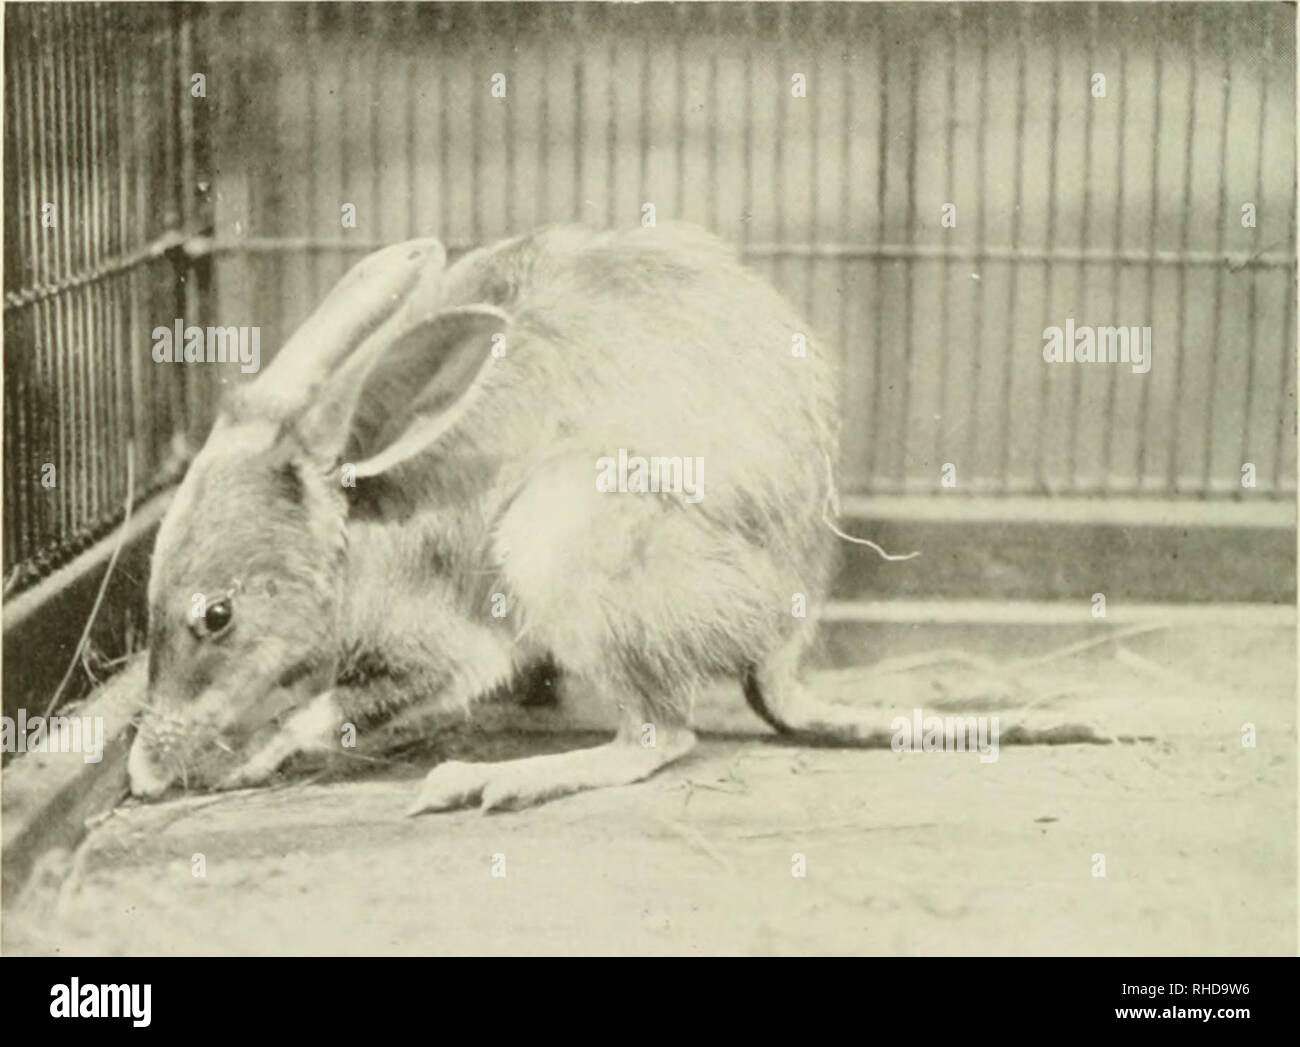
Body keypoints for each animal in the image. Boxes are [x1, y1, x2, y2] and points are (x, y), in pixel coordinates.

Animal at [128, 222, 881, 813]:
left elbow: (328, 707)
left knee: (662, 736)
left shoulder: (442, 647)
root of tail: (786, 642)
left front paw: (246, 759)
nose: (140, 777)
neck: (359, 537)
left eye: (216, 616)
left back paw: (496, 779)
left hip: (556, 533)